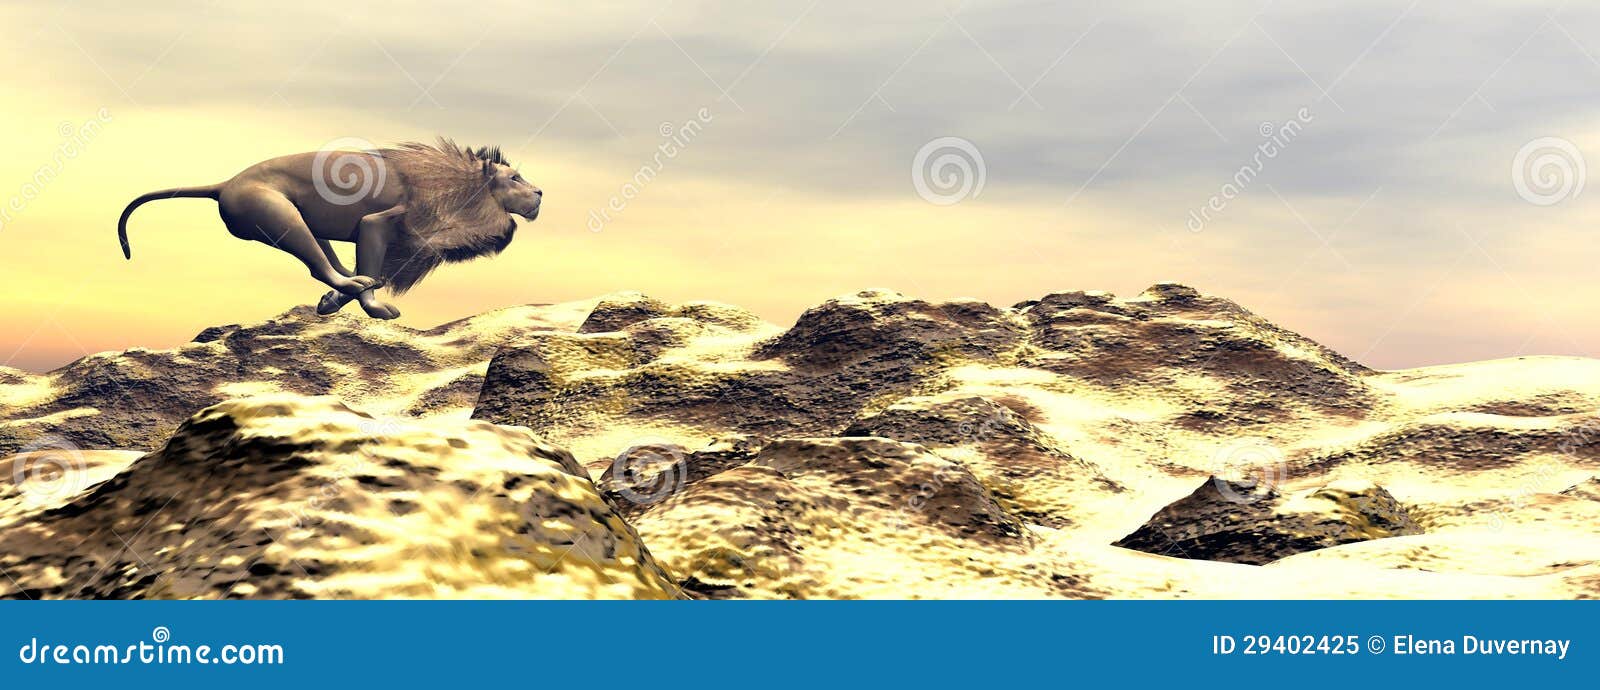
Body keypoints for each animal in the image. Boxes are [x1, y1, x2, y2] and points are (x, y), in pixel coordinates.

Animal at [116, 138, 542, 319]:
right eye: (516, 178)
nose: (539, 192)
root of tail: (224, 183)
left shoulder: (406, 247)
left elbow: (371, 271)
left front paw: (332, 304)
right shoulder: (378, 224)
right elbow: (371, 269)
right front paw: (374, 307)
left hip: (301, 221)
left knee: (331, 264)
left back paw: (339, 289)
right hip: (275, 213)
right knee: (321, 267)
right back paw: (350, 284)